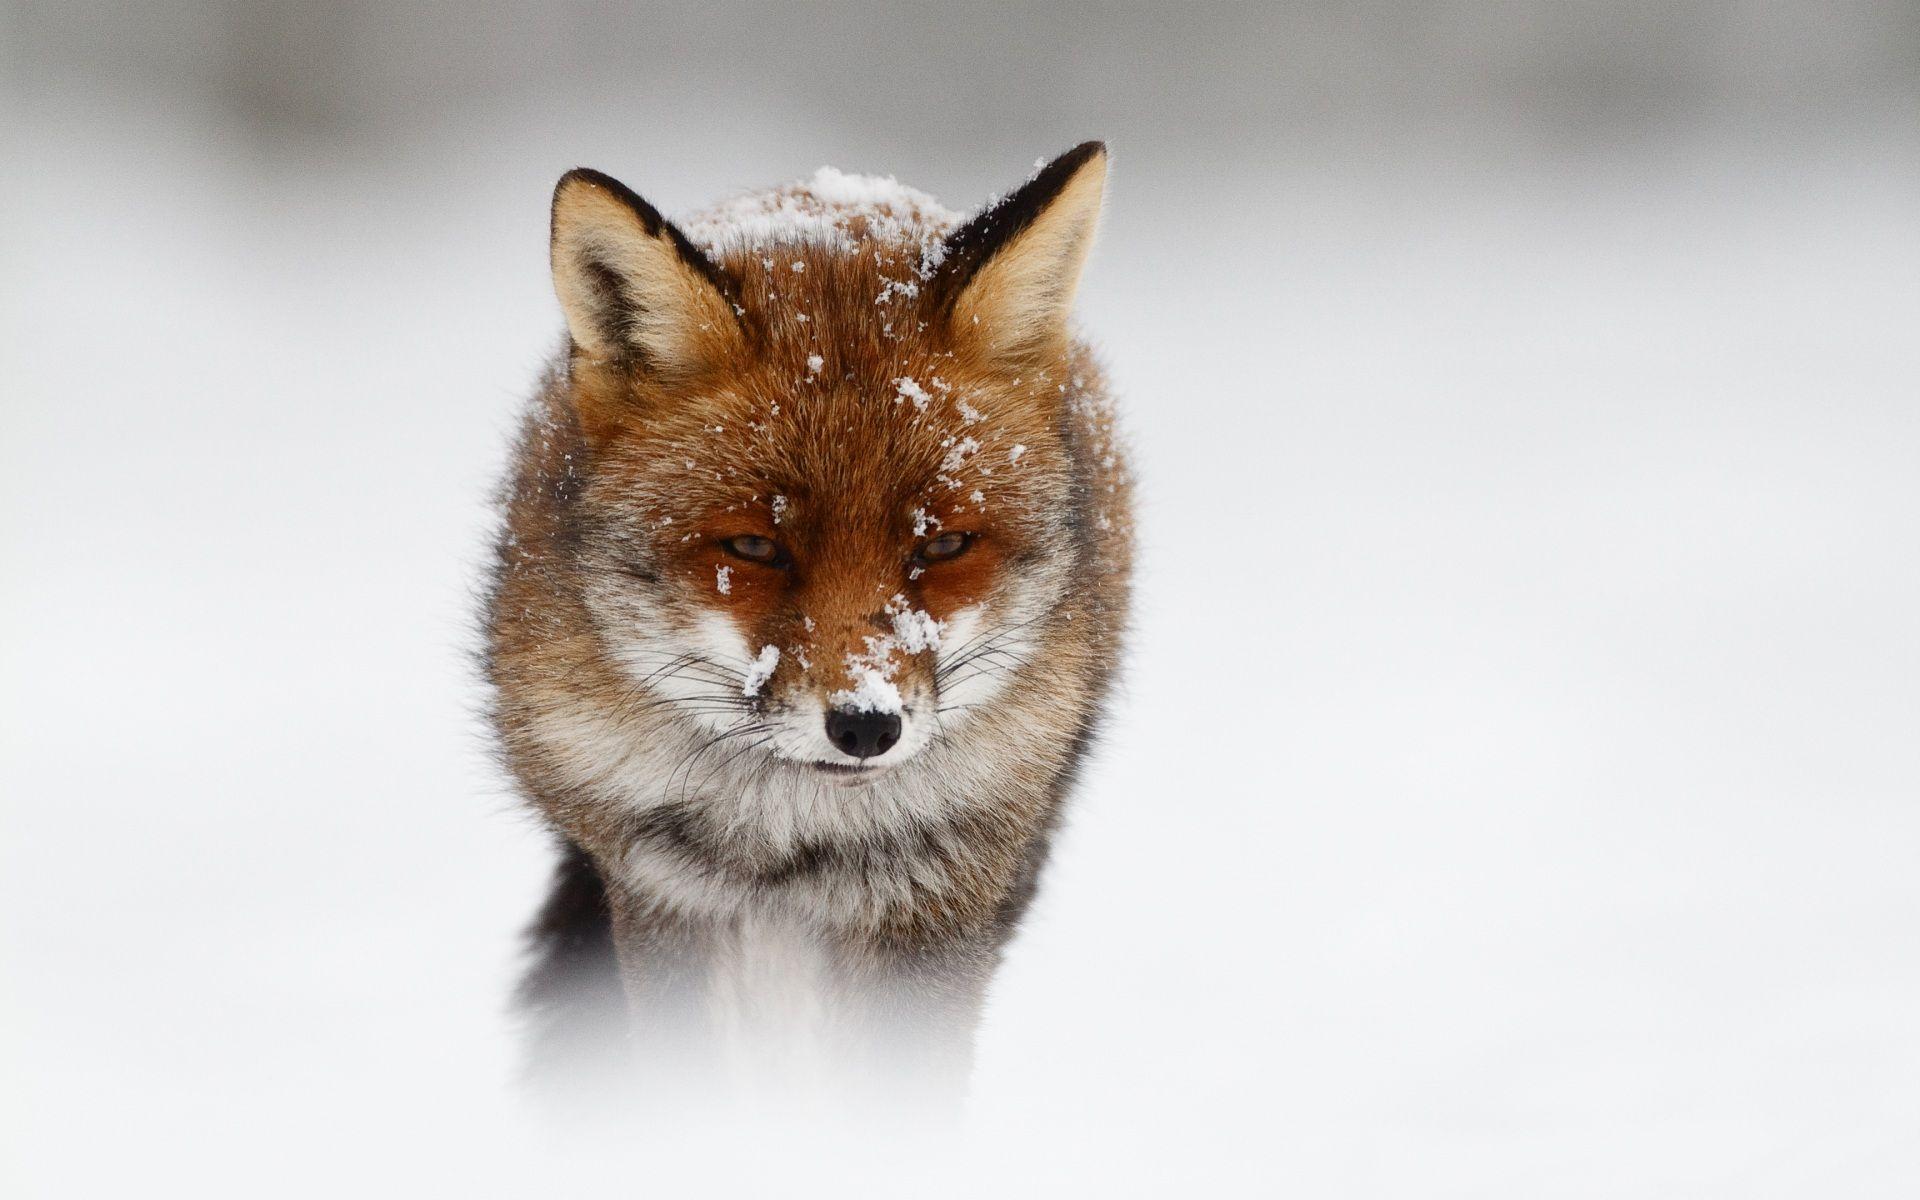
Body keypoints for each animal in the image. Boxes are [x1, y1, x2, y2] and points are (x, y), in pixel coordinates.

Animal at [484, 142, 1132, 1100]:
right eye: (755, 544)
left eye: (943, 544)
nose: (866, 726)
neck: (791, 836)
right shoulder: (662, 889)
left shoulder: (936, 901)